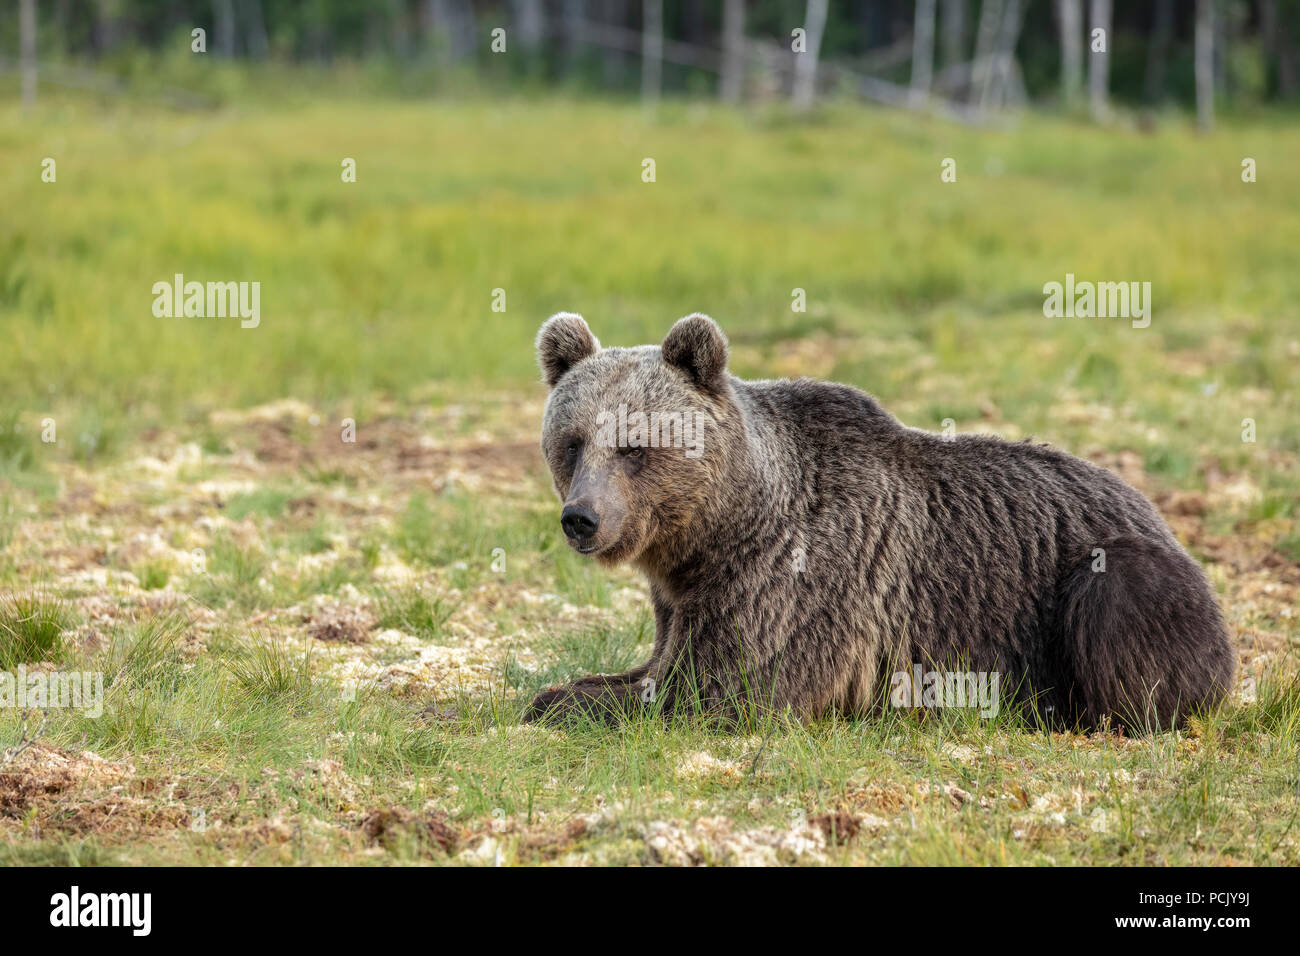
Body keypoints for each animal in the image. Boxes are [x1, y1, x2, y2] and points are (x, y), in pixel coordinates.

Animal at [524, 311, 1236, 732]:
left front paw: (555, 701)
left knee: (1118, 605)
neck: (724, 528)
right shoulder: (684, 593)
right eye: (573, 442)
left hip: (1114, 574)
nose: (582, 519)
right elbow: (660, 665)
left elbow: (728, 688)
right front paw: (571, 689)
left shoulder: (793, 581)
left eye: (634, 446)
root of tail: (1155, 509)